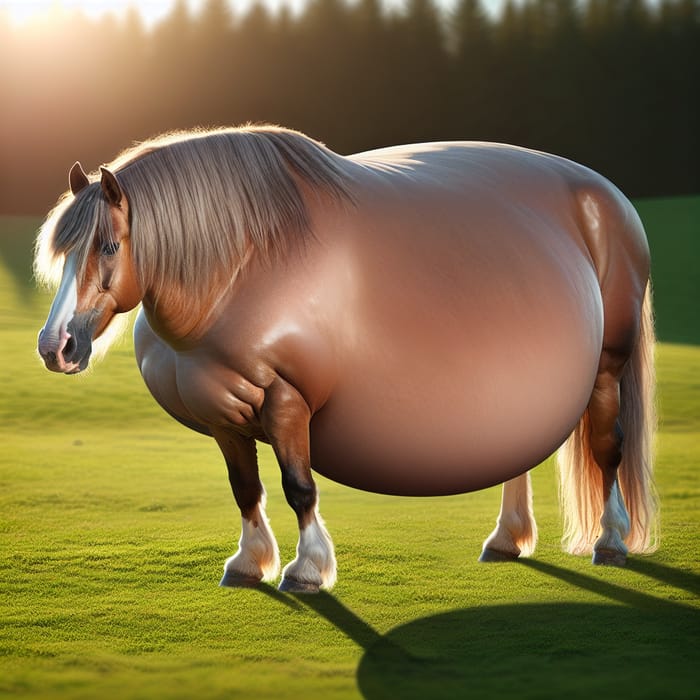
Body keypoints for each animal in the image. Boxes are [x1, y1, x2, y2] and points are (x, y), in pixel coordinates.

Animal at [35, 125, 658, 593]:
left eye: (109, 246)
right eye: (63, 252)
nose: (55, 346)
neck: (242, 264)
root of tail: (606, 196)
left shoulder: (287, 399)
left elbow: (298, 487)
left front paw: (307, 570)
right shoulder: (224, 417)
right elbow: (245, 489)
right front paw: (248, 563)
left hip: (607, 365)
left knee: (607, 447)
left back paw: (610, 542)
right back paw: (507, 540)